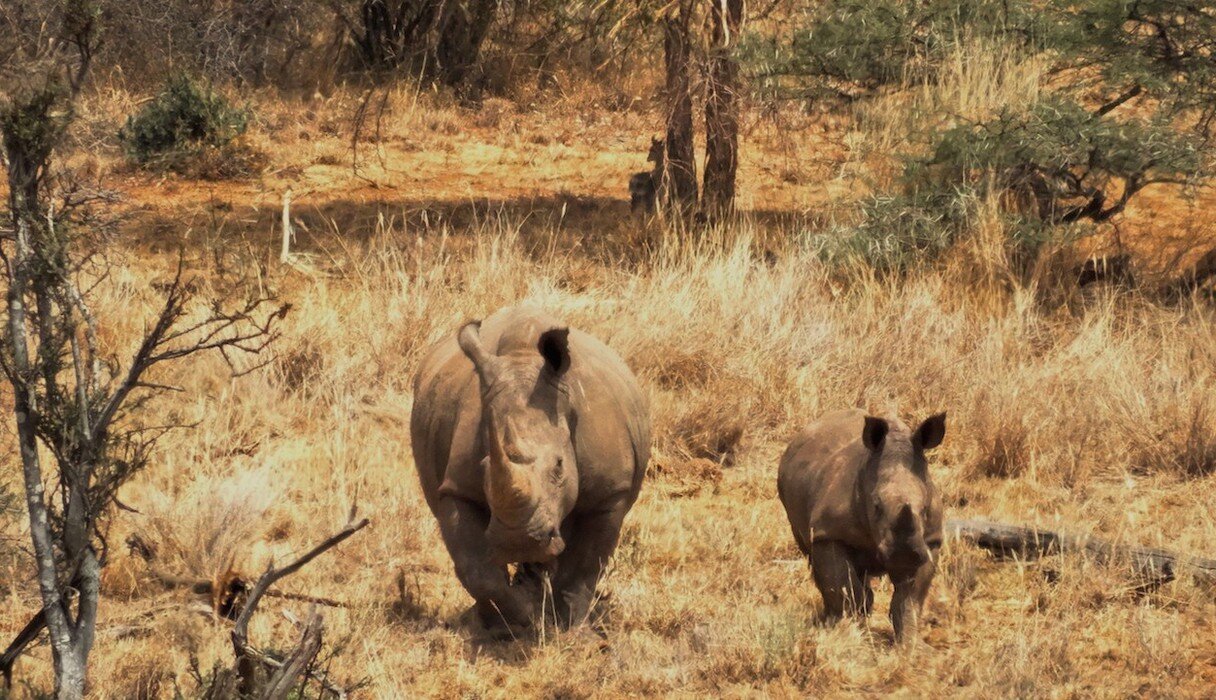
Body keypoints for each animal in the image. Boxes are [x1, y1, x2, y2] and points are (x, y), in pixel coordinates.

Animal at [411, 306, 649, 635]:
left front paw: (572, 629)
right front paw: (517, 623)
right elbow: (476, 568)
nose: (518, 542)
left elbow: (585, 565)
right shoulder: (458, 488)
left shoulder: (610, 493)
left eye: (559, 467)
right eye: (483, 468)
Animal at [777, 409, 946, 643]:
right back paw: (829, 620)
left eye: (925, 508)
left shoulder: (930, 541)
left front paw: (910, 645)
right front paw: (848, 634)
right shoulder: (829, 533)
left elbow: (910, 598)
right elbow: (844, 586)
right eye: (876, 506)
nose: (904, 555)